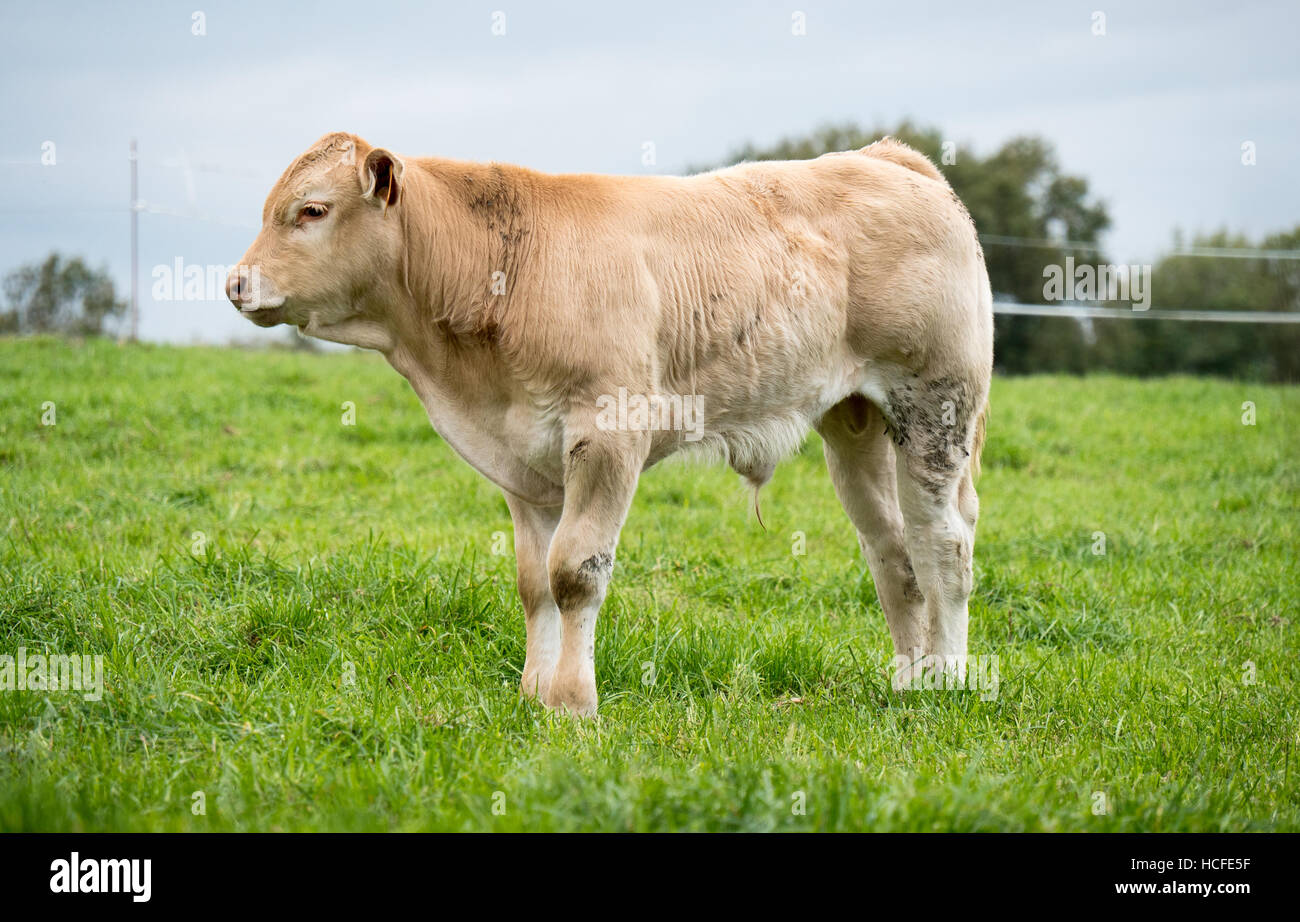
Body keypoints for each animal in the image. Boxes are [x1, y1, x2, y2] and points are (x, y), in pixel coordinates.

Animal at [226, 132, 992, 716]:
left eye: (312, 209)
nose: (235, 284)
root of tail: (886, 157)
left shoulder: (607, 435)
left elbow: (576, 572)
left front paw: (573, 702)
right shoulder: (523, 462)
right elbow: (534, 581)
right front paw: (534, 692)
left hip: (936, 410)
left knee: (944, 547)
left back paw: (949, 682)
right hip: (855, 424)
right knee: (895, 555)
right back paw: (907, 682)